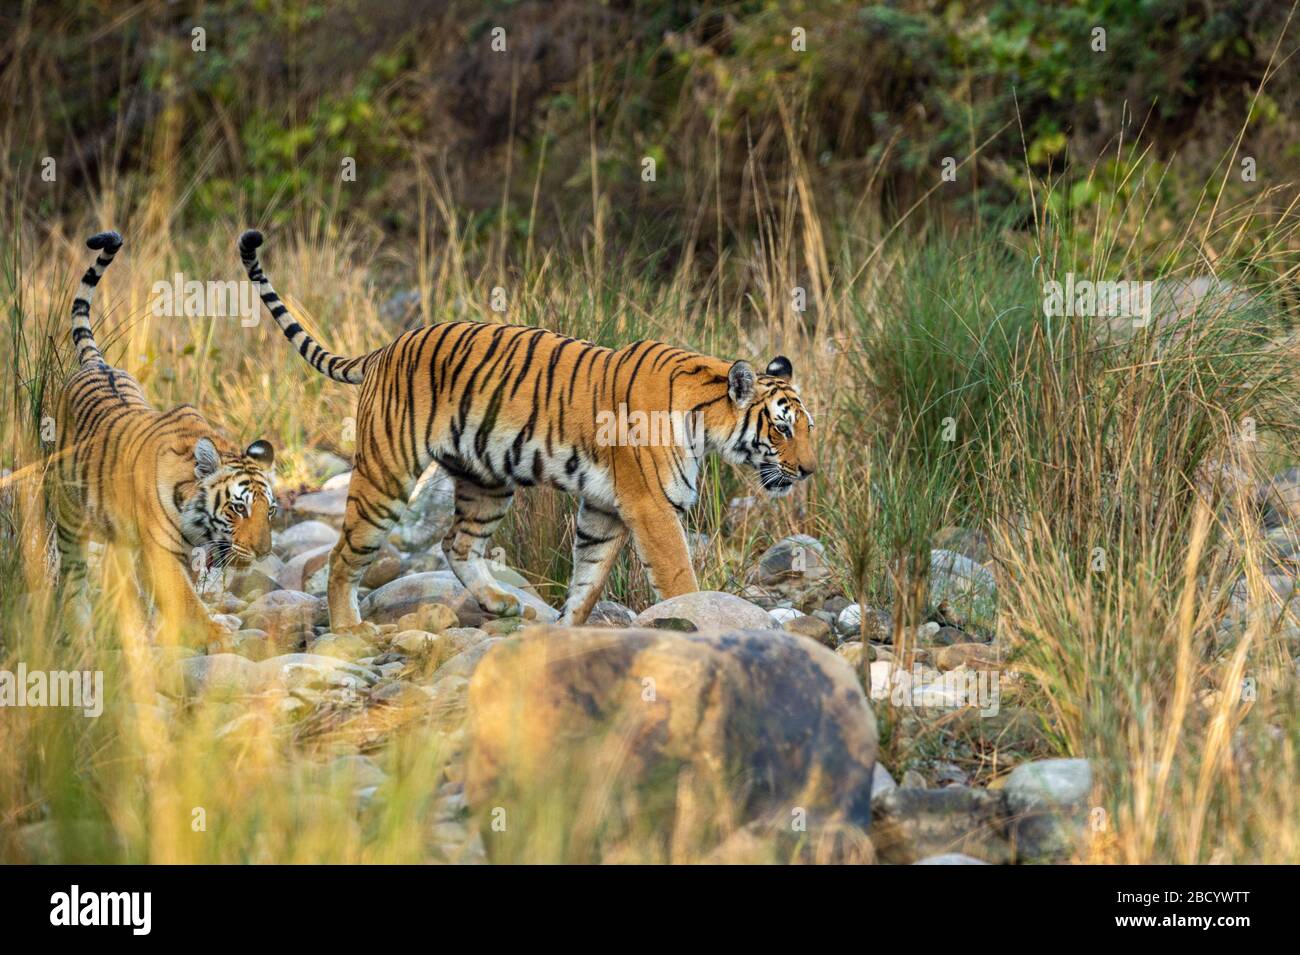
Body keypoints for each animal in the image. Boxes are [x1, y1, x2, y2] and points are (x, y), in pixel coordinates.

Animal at [49, 231, 278, 641]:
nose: (264, 553)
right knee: (74, 570)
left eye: (271, 511)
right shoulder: (159, 553)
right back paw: (81, 628)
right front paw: (219, 637)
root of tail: (97, 362)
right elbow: (187, 602)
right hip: (70, 511)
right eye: (238, 508)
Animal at [238, 229, 815, 629]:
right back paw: (347, 629)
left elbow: (588, 577)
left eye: (807, 428)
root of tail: (384, 348)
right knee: (344, 554)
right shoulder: (650, 507)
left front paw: (567, 629)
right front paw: (696, 619)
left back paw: (500, 604)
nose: (810, 471)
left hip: (487, 481)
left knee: (456, 543)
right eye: (783, 430)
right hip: (387, 475)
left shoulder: (605, 508)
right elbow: (677, 578)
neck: (705, 418)